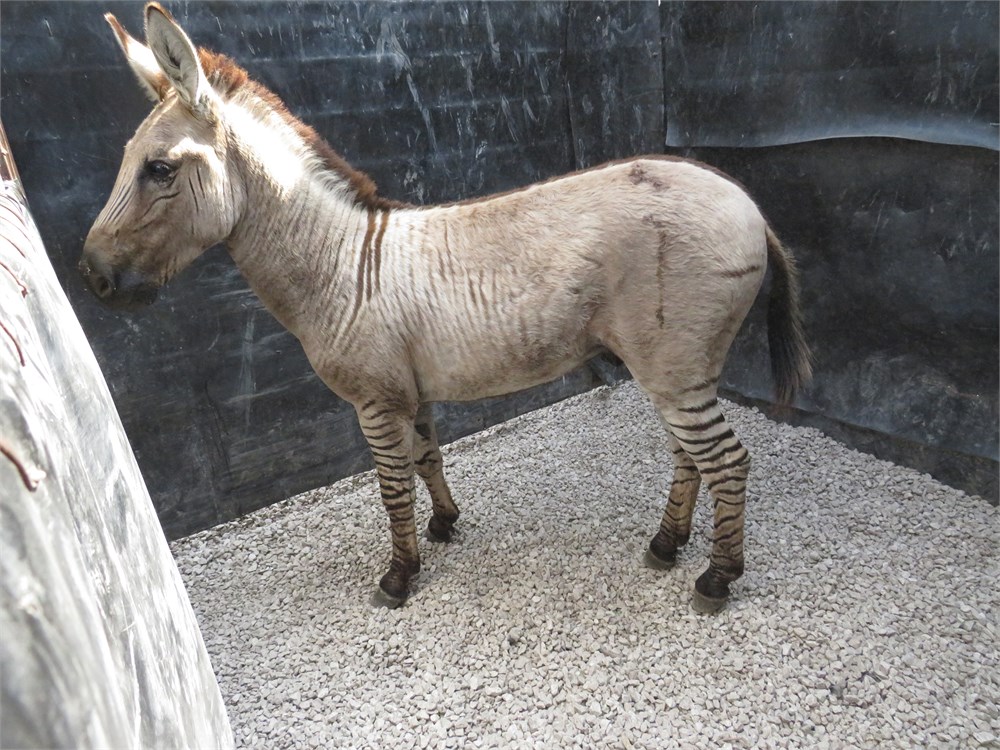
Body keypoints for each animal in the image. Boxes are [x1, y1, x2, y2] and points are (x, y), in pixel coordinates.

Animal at [79, 3, 811, 613]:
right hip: (673, 366)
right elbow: (427, 458)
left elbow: (390, 485)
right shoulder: (410, 390)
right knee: (692, 456)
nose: (90, 278)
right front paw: (443, 525)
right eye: (130, 162)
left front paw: (399, 577)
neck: (340, 265)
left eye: (159, 170)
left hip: (674, 364)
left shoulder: (374, 400)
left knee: (727, 461)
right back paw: (666, 544)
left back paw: (716, 578)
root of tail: (745, 202)